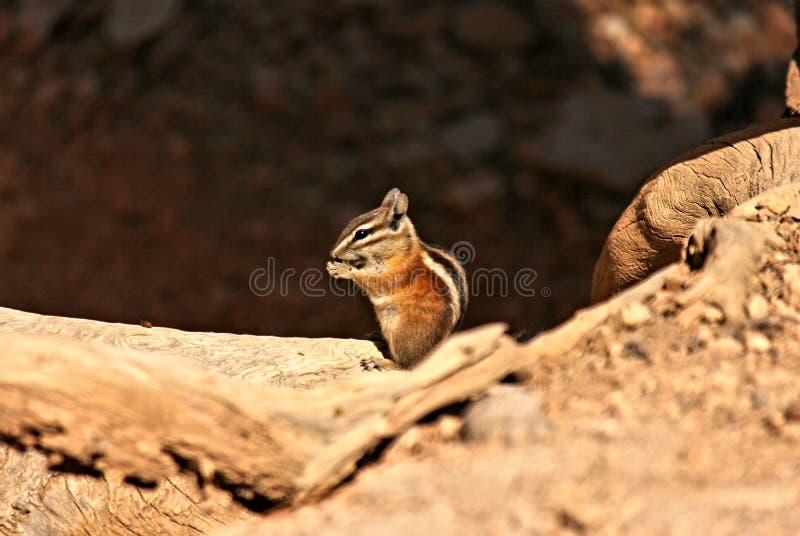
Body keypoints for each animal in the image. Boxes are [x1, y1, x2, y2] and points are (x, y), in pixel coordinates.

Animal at [326, 188, 468, 369]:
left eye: (361, 233)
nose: (334, 254)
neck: (402, 251)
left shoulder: (397, 273)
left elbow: (376, 282)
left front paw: (344, 269)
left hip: (402, 332)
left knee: (407, 366)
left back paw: (381, 362)